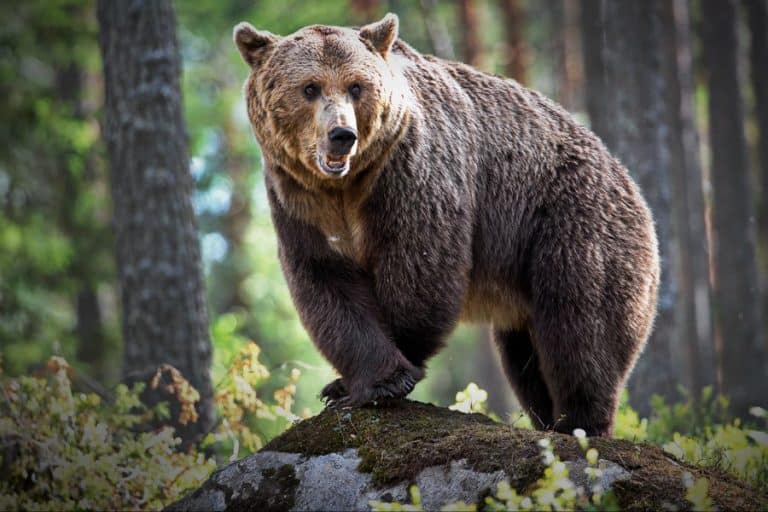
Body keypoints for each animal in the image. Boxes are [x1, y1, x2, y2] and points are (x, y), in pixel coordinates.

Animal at [233, 13, 659, 436]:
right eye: (309, 88)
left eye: (356, 86)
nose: (342, 135)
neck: (347, 186)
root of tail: (628, 178)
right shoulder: (301, 203)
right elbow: (326, 282)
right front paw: (355, 383)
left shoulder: (410, 172)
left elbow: (420, 268)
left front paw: (392, 373)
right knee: (525, 358)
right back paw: (549, 419)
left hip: (571, 220)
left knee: (578, 329)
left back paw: (579, 424)